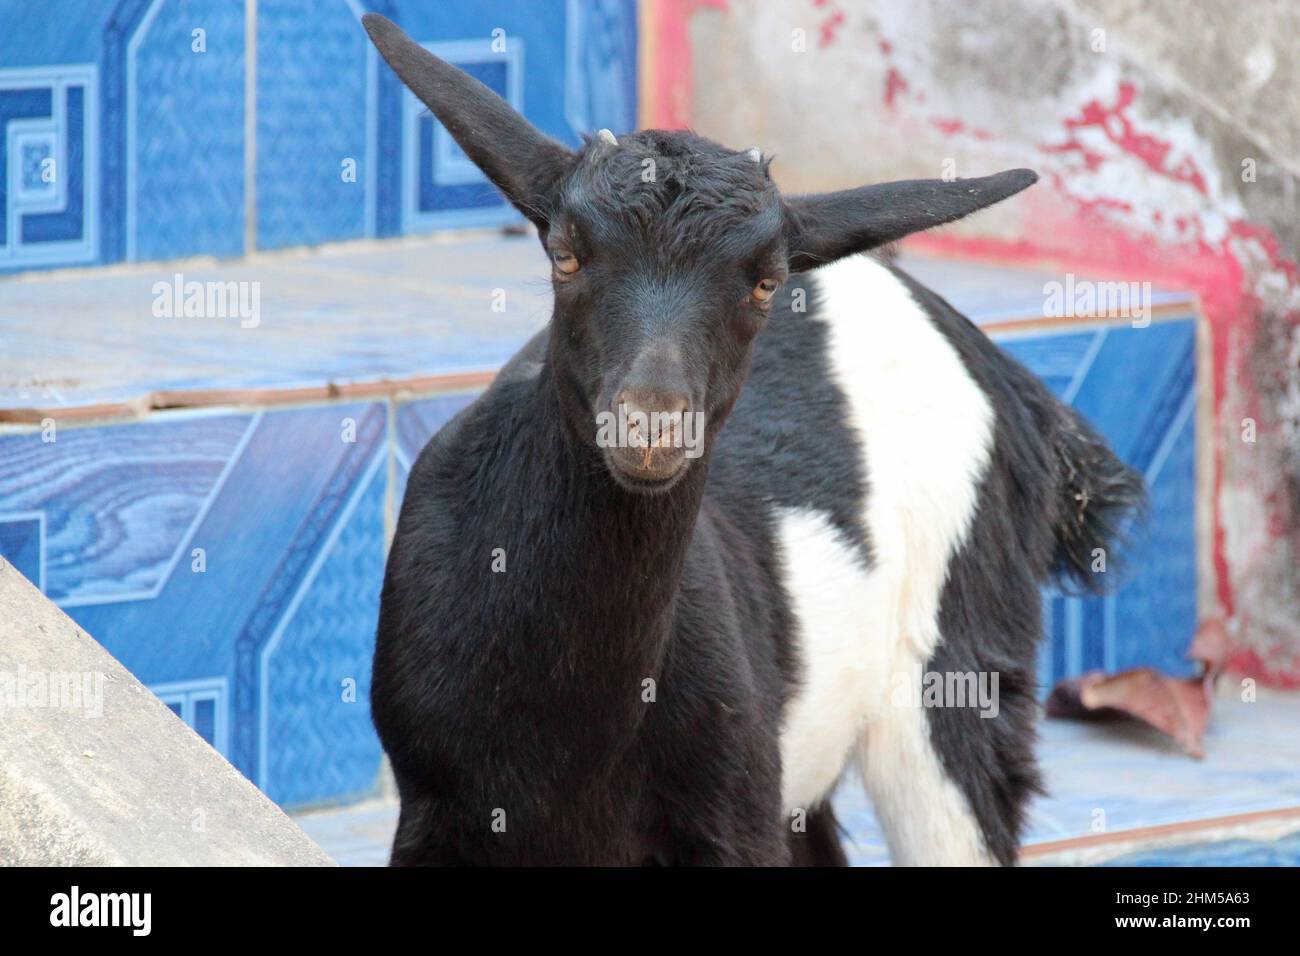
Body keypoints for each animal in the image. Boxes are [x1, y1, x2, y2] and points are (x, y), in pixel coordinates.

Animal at [362, 13, 1144, 866]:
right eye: (565, 254)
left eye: (766, 283)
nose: (651, 426)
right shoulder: (435, 810)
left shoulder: (731, 814)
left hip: (956, 664)